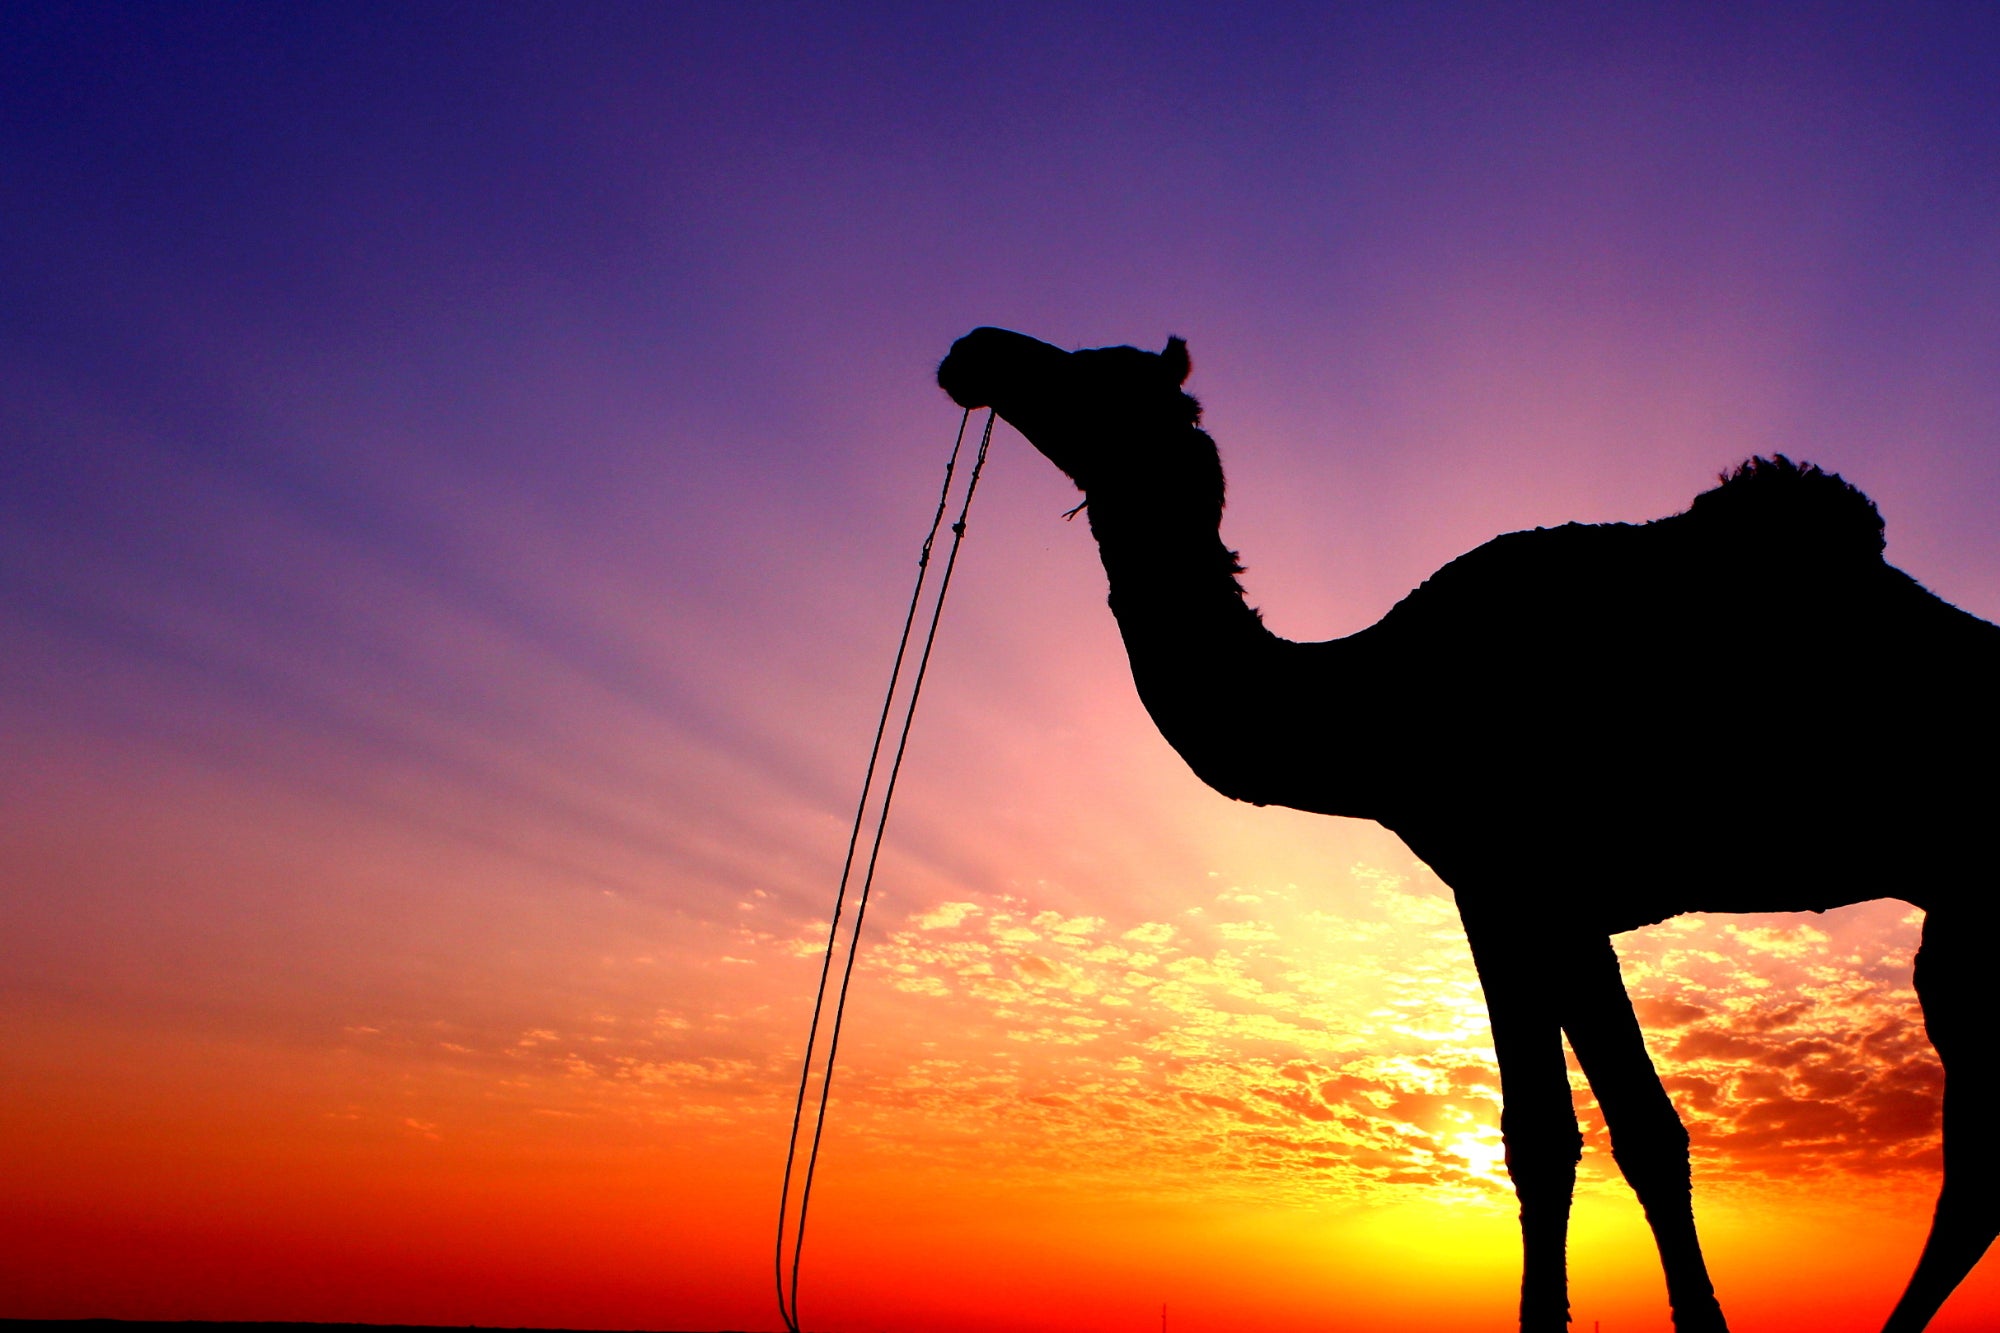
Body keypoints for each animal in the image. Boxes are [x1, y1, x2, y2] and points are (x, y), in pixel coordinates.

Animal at [935, 326, 2000, 1333]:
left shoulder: (1522, 881)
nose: (973, 351)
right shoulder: (1524, 902)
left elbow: (1589, 1134)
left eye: (1092, 374)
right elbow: (1591, 1134)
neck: (1377, 698)